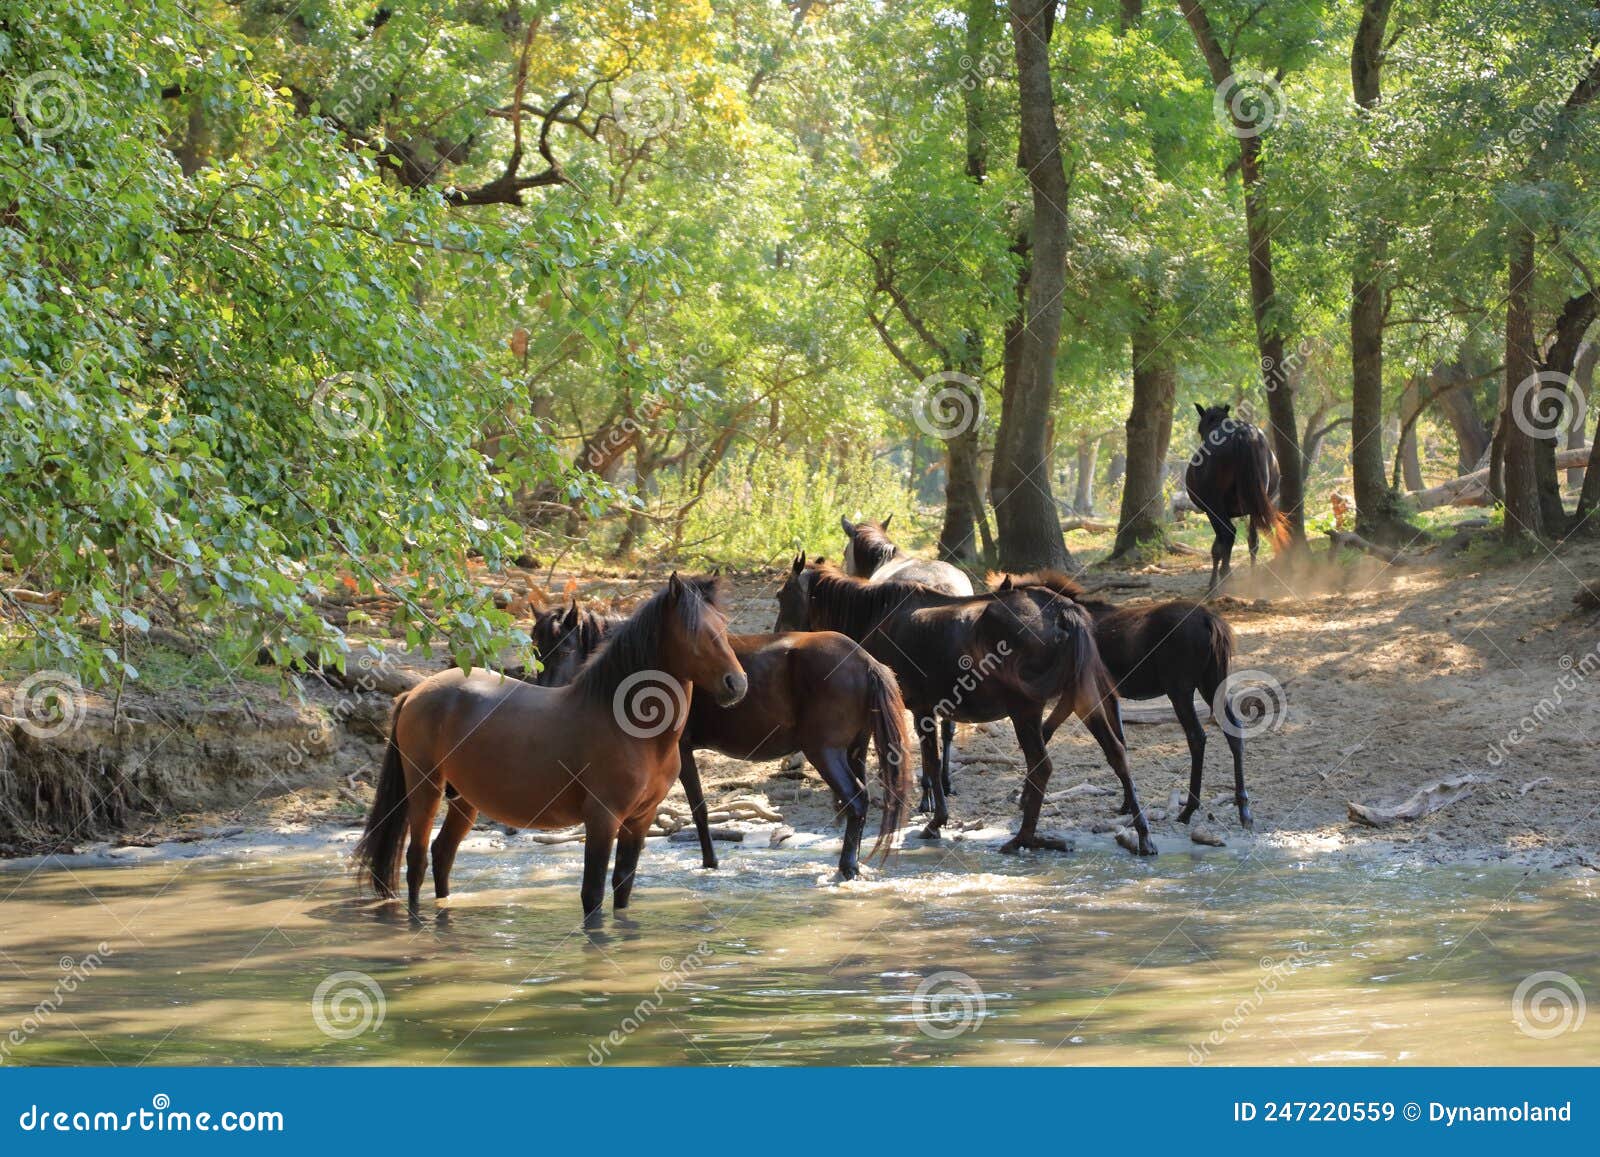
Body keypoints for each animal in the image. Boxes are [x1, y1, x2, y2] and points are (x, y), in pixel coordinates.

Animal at [353, 574, 748, 925]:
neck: (629, 727)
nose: (737, 684)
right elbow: (592, 894)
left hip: (464, 800)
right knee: (417, 861)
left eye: (723, 626)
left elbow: (623, 887)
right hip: (425, 790)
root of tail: (415, 692)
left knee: (442, 855)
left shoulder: (640, 819)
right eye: (694, 631)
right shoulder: (602, 818)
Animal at [530, 611, 914, 879]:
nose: (543, 694)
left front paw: (709, 861)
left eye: (565, 648)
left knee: (856, 799)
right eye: (538, 648)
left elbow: (698, 808)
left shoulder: (679, 752)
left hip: (825, 751)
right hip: (854, 749)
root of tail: (864, 660)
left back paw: (846, 868)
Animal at [775, 555, 1156, 856]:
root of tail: (1064, 613)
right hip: (1082, 697)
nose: (780, 634)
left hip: (1026, 708)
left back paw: (1022, 837)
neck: (876, 617)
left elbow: (925, 761)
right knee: (1116, 752)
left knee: (1042, 766)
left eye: (781, 594)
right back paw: (1142, 835)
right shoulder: (925, 709)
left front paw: (934, 821)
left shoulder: (917, 709)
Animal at [995, 572, 1252, 830]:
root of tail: (1210, 620)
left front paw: (1024, 797)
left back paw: (1189, 809)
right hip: (1212, 683)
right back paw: (1244, 811)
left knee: (1197, 737)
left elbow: (1046, 733)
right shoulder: (1108, 695)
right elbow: (1120, 742)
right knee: (1233, 732)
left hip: (1181, 690)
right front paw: (1127, 803)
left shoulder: (1074, 694)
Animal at [1184, 404, 1289, 590]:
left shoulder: (1212, 511)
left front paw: (1215, 581)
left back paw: (1225, 575)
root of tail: (1242, 433)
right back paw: (1252, 577)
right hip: (1257, 501)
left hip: (1216, 505)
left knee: (1229, 533)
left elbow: (1218, 545)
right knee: (1252, 539)